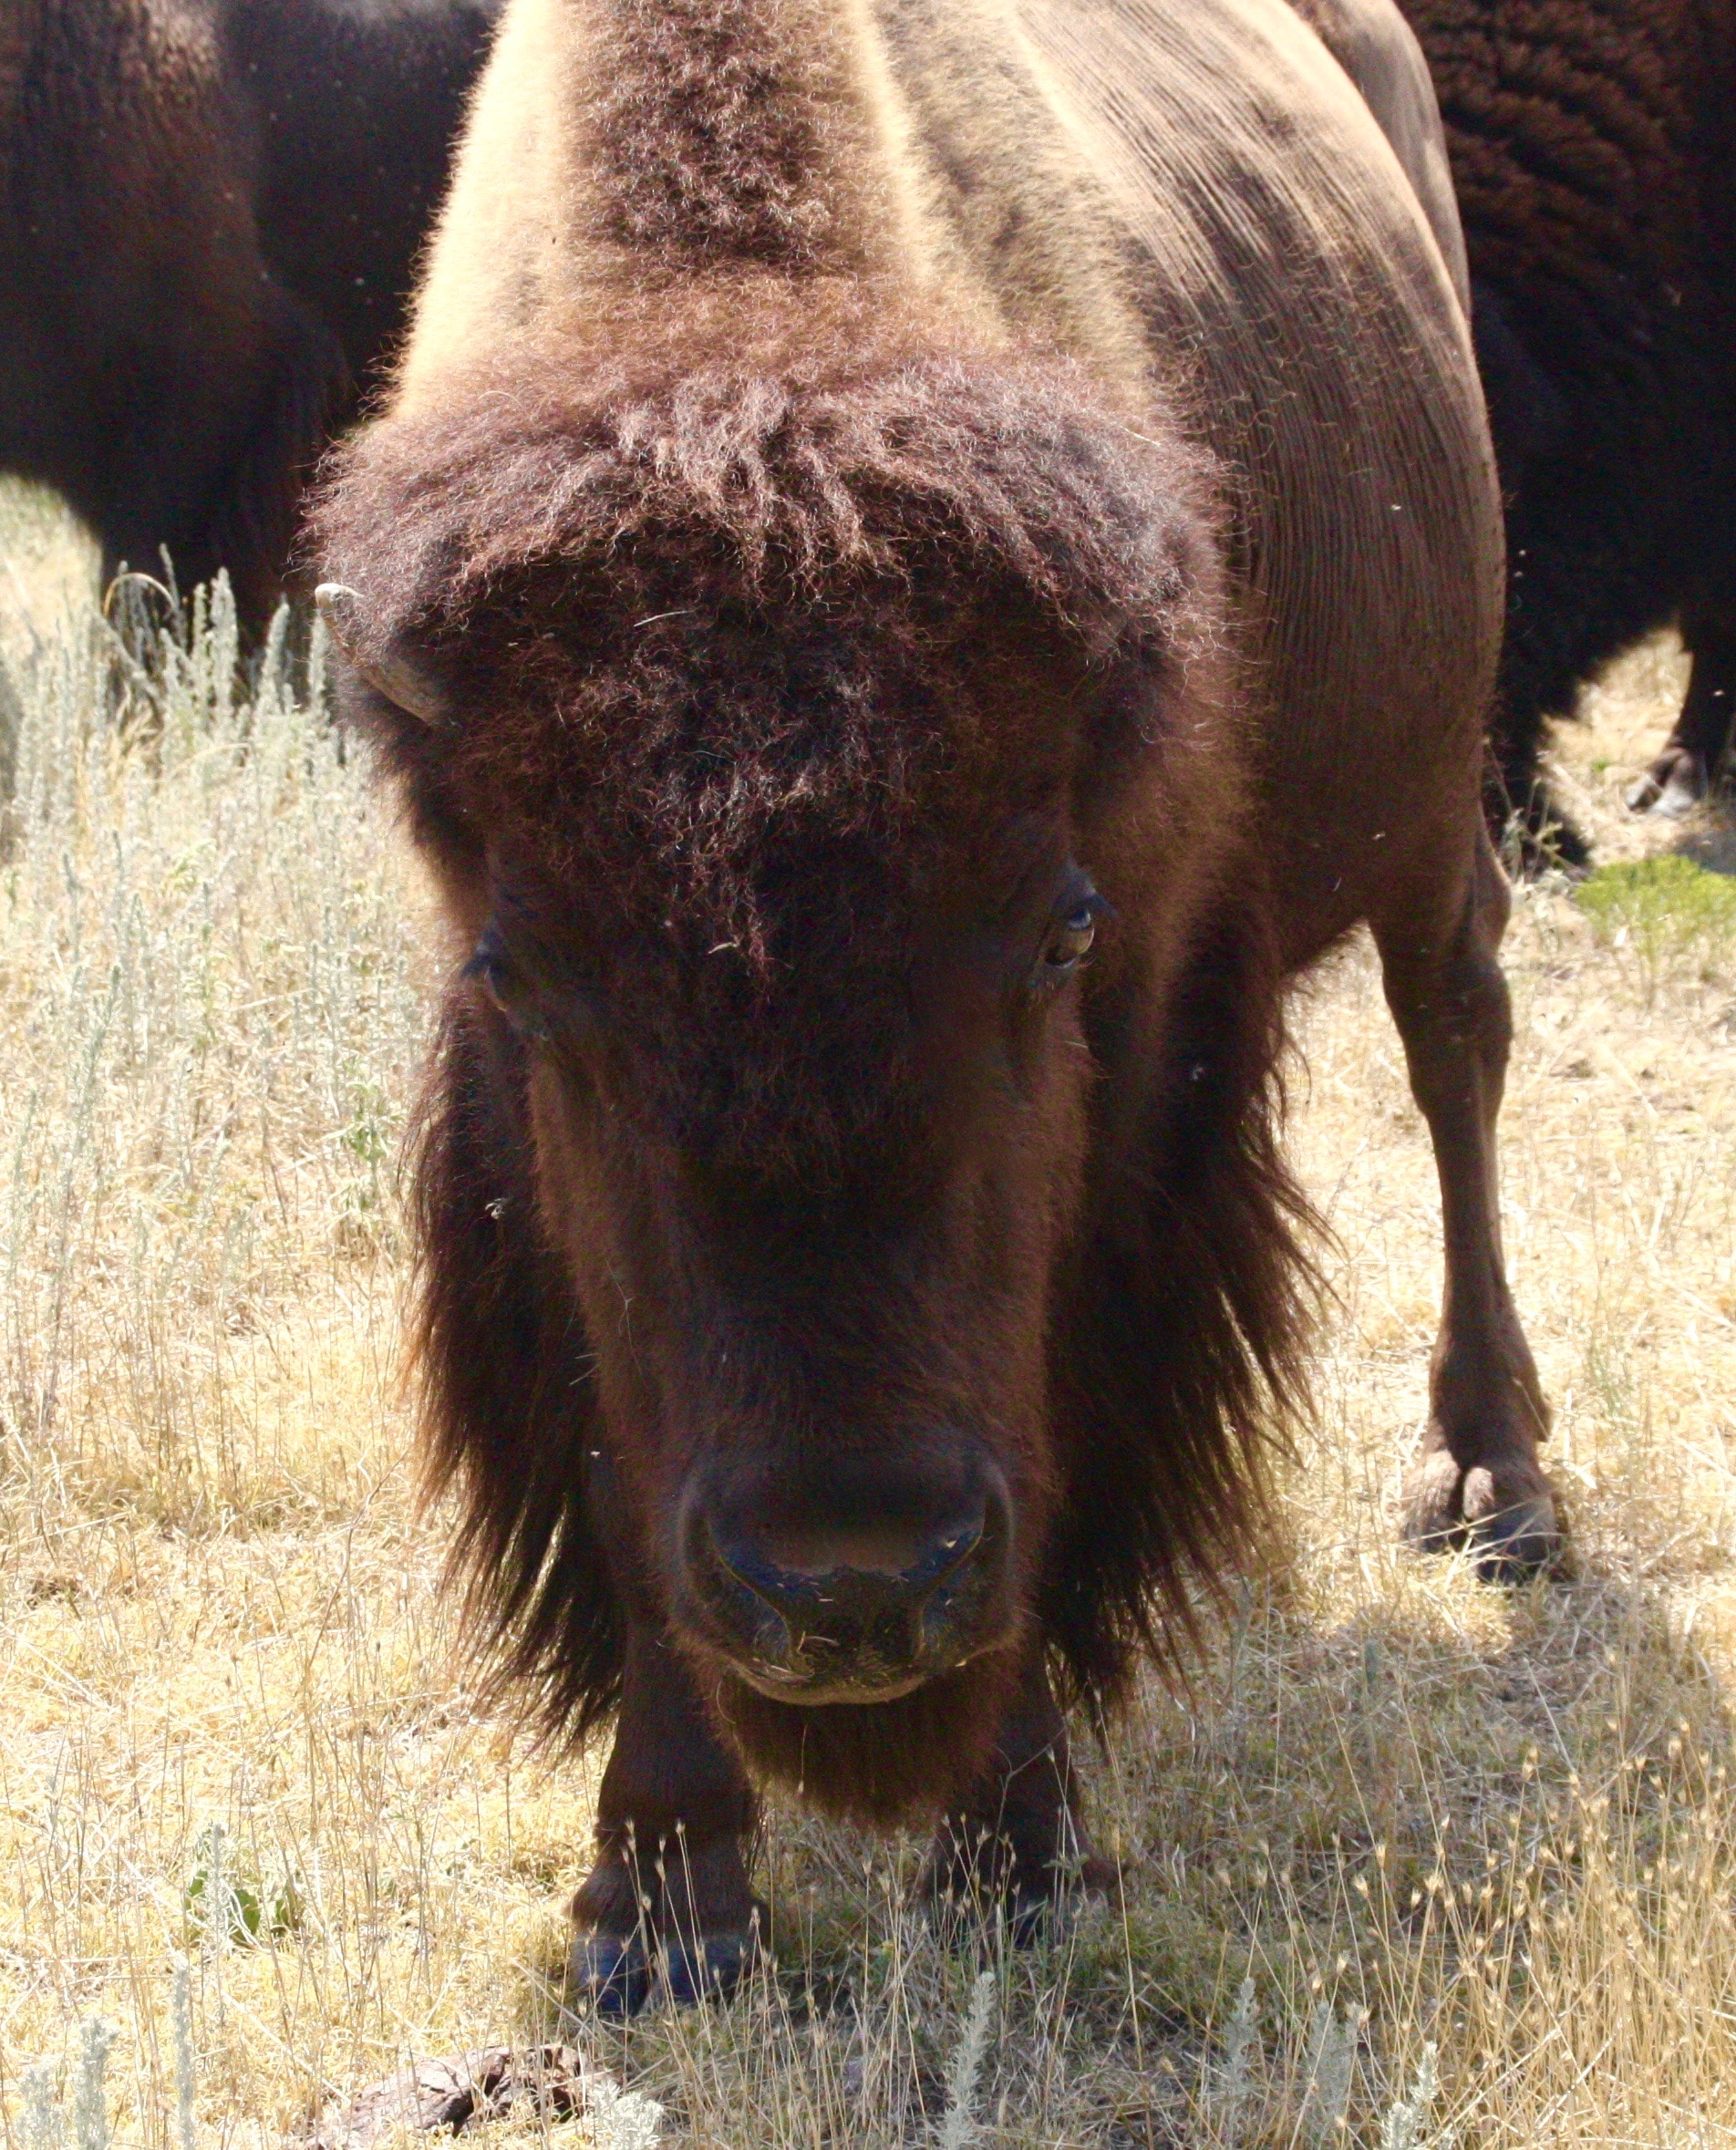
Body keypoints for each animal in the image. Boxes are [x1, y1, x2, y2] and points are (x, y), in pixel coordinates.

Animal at [312, 0, 1553, 2014]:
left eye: (1056, 933)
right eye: (521, 968)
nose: (852, 1586)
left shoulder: (1138, 1062)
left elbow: (1056, 1403)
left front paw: (1012, 1860)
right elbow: (621, 1449)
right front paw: (660, 1896)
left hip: (1432, 796)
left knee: (1456, 1034)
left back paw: (1493, 1481)